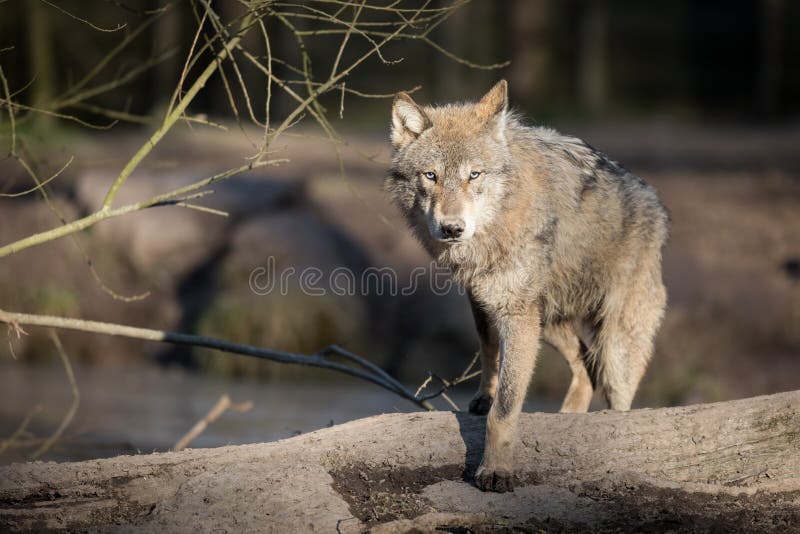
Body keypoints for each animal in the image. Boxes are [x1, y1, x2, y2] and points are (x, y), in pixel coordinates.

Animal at [385, 80, 668, 492]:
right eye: (431, 176)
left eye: (474, 175)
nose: (452, 228)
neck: (496, 226)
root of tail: (655, 200)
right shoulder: (485, 302)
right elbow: (489, 352)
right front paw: (483, 397)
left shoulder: (516, 313)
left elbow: (506, 409)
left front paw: (496, 470)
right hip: (545, 321)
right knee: (584, 363)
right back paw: (570, 417)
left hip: (611, 342)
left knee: (617, 394)